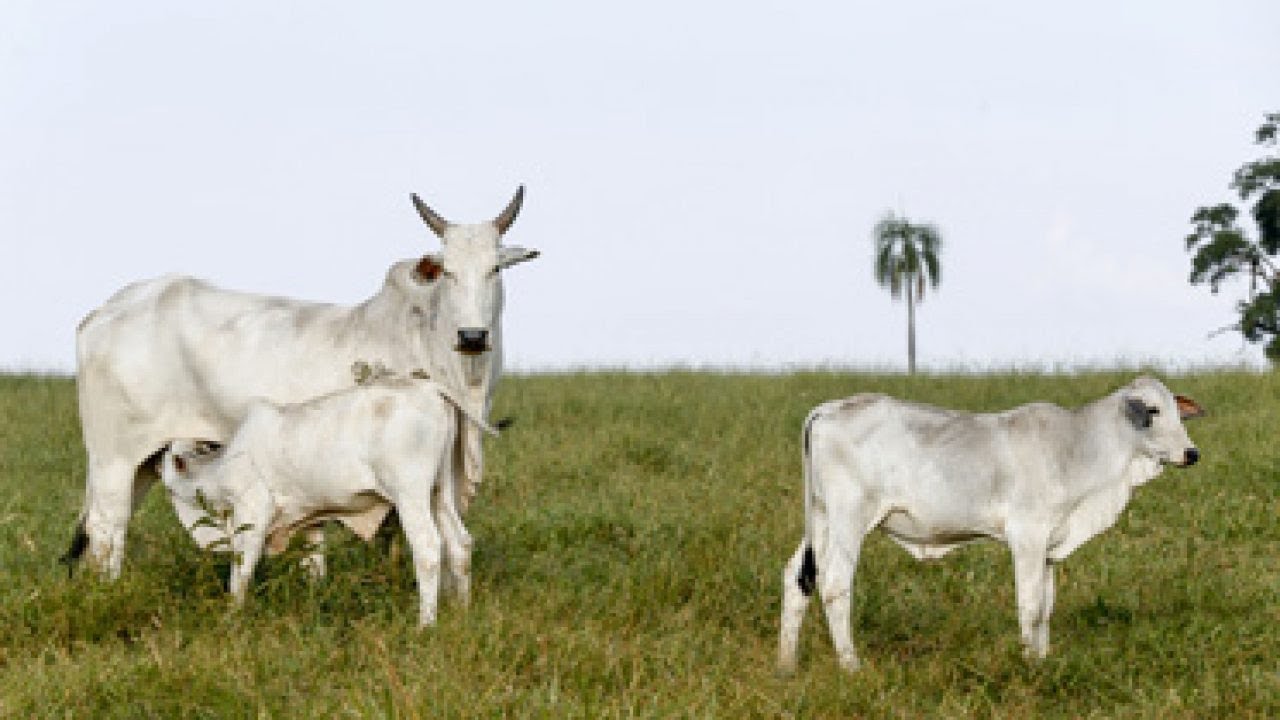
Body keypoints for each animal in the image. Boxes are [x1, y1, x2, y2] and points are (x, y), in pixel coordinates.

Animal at [64, 188, 539, 579]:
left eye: (496, 268)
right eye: (447, 271)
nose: (473, 336)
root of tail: (107, 310)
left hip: (145, 459)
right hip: (113, 457)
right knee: (107, 527)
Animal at [157, 373, 494, 625]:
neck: (220, 470)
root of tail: (430, 388)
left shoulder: (251, 515)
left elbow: (241, 572)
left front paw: (232, 617)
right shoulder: (309, 521)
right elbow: (314, 567)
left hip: (410, 493)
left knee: (428, 547)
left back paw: (425, 624)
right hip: (440, 491)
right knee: (460, 543)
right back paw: (462, 611)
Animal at [777, 376, 1204, 673]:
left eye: (1176, 409)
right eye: (1152, 411)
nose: (1192, 453)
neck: (1078, 447)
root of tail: (829, 408)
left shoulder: (1049, 548)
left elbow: (1046, 607)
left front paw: (1043, 659)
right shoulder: (1027, 537)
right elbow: (1030, 604)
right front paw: (1029, 664)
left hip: (822, 519)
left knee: (799, 578)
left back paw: (786, 665)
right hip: (849, 518)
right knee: (834, 586)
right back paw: (851, 666)